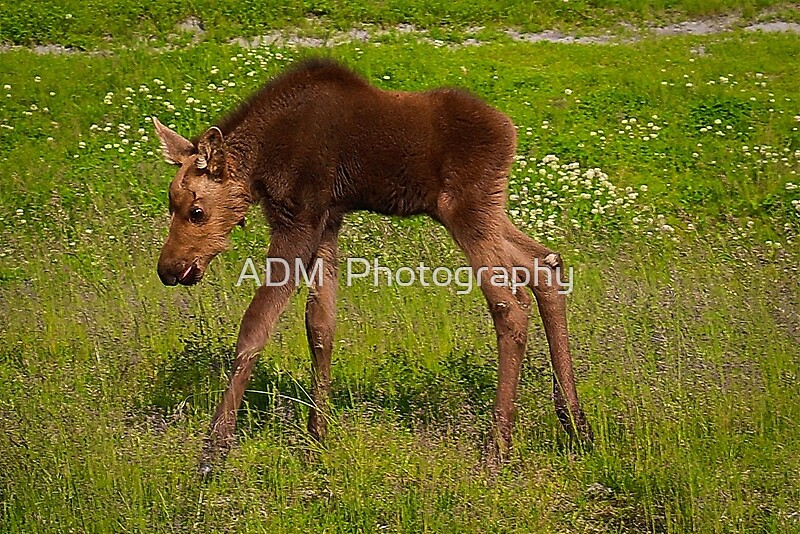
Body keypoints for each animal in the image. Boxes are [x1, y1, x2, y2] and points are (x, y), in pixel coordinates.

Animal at [153, 58, 592, 475]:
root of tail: (510, 132)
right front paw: (317, 435)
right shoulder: (328, 219)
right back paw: (575, 423)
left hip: (466, 208)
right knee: (545, 265)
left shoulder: (299, 219)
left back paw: (498, 447)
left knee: (510, 306)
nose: (169, 268)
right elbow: (320, 325)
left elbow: (255, 326)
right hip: (486, 210)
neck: (261, 165)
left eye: (196, 211)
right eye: (171, 204)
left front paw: (214, 450)